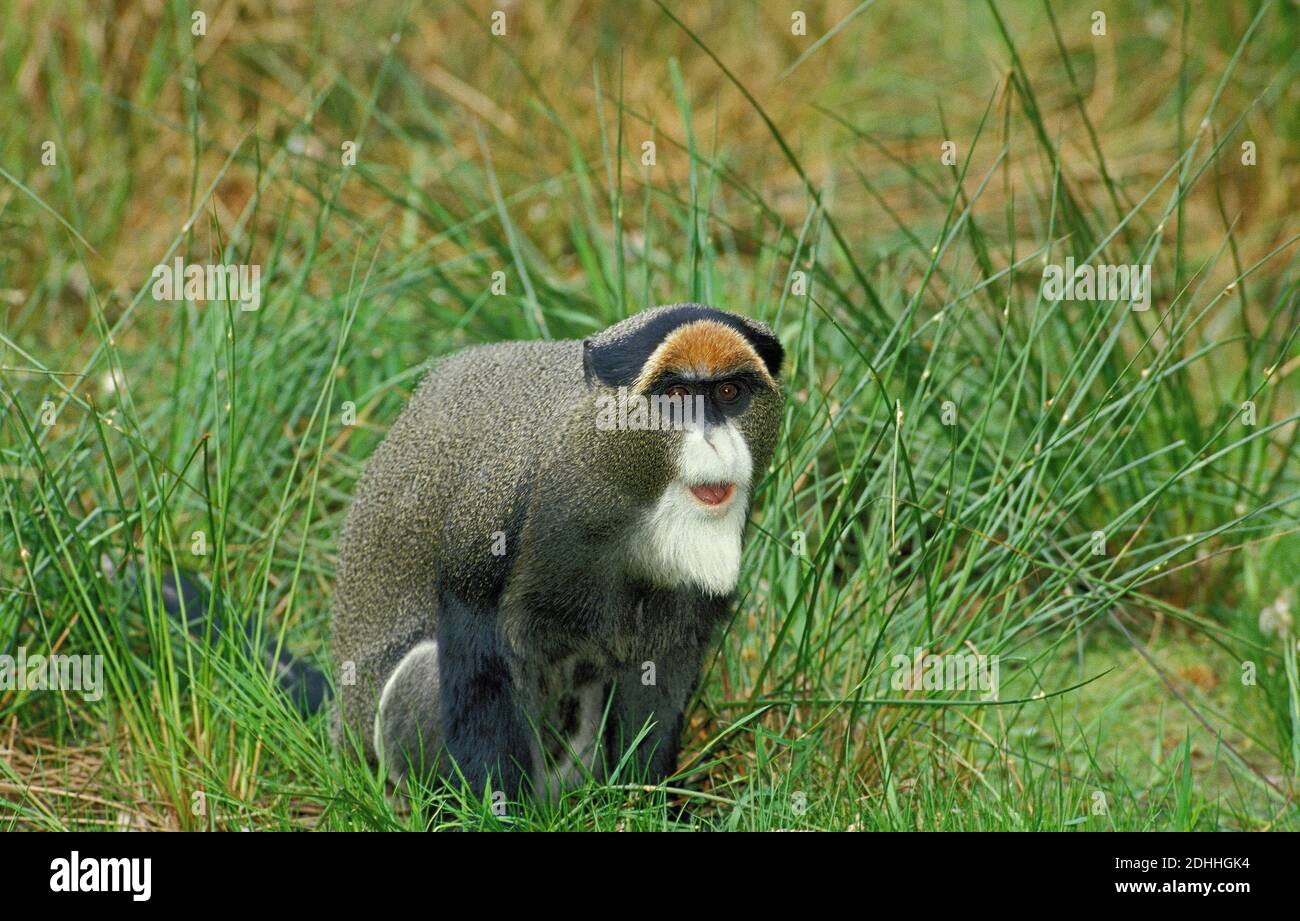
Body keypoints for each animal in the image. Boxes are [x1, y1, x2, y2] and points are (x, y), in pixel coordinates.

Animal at [330, 303, 784, 799]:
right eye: (678, 394)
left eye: (728, 391)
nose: (717, 441)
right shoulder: (487, 524)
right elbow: (479, 657)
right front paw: (496, 810)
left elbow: (661, 667)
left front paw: (647, 798)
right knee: (423, 670)